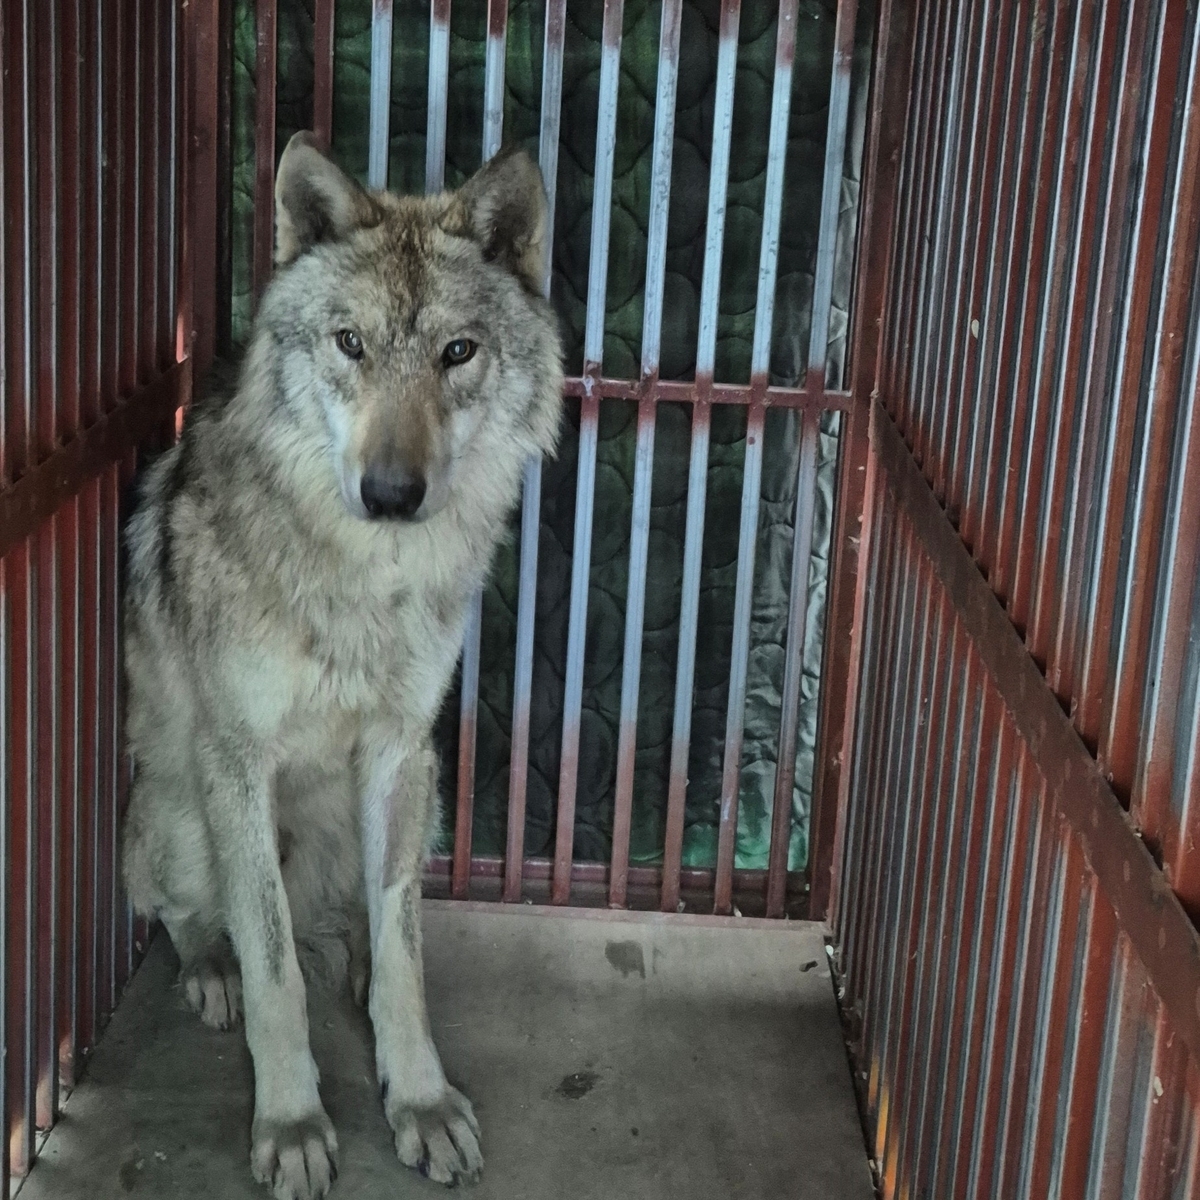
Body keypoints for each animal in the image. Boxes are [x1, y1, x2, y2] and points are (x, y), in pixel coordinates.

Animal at [120, 131, 562, 1199]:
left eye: (457, 352)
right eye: (350, 344)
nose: (392, 492)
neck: (364, 580)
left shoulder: (403, 747)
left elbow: (404, 952)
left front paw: (421, 1102)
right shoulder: (239, 761)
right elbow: (276, 966)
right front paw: (290, 1125)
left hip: (428, 798)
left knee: (362, 916)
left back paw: (350, 952)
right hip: (180, 813)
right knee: (203, 914)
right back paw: (214, 970)